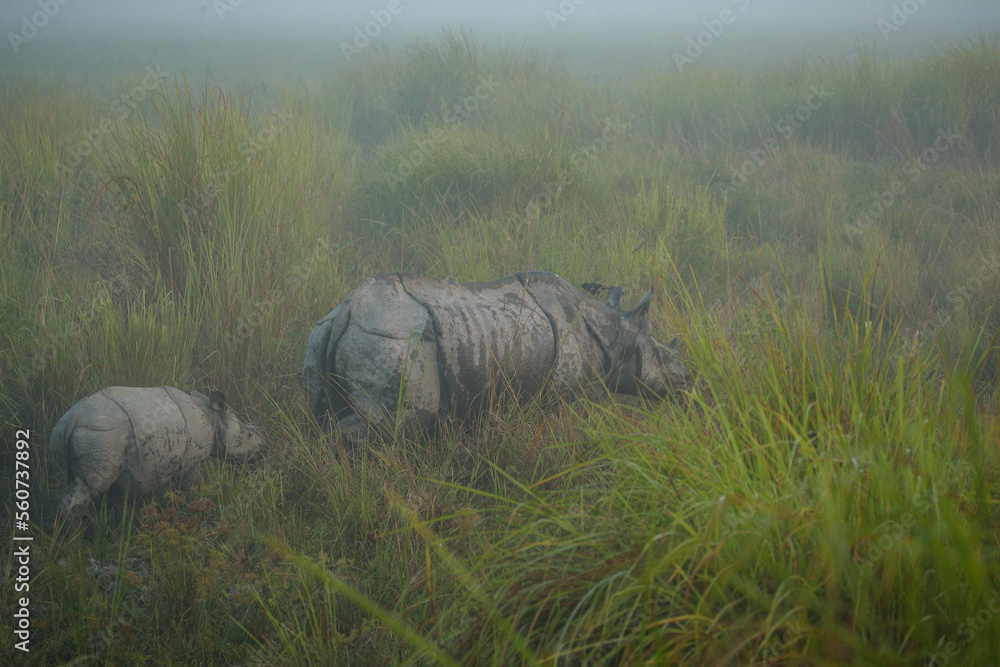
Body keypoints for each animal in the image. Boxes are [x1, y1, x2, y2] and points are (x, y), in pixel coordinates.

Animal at [50, 386, 265, 517]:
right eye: (248, 435)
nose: (263, 451)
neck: (213, 416)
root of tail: (74, 418)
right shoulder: (192, 460)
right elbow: (190, 489)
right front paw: (196, 509)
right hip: (101, 434)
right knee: (89, 488)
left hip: (67, 431)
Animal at [302, 271, 691, 444]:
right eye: (662, 354)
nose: (689, 379)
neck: (615, 333)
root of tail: (348, 309)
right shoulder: (561, 392)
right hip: (394, 340)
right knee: (391, 424)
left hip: (323, 332)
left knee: (320, 410)